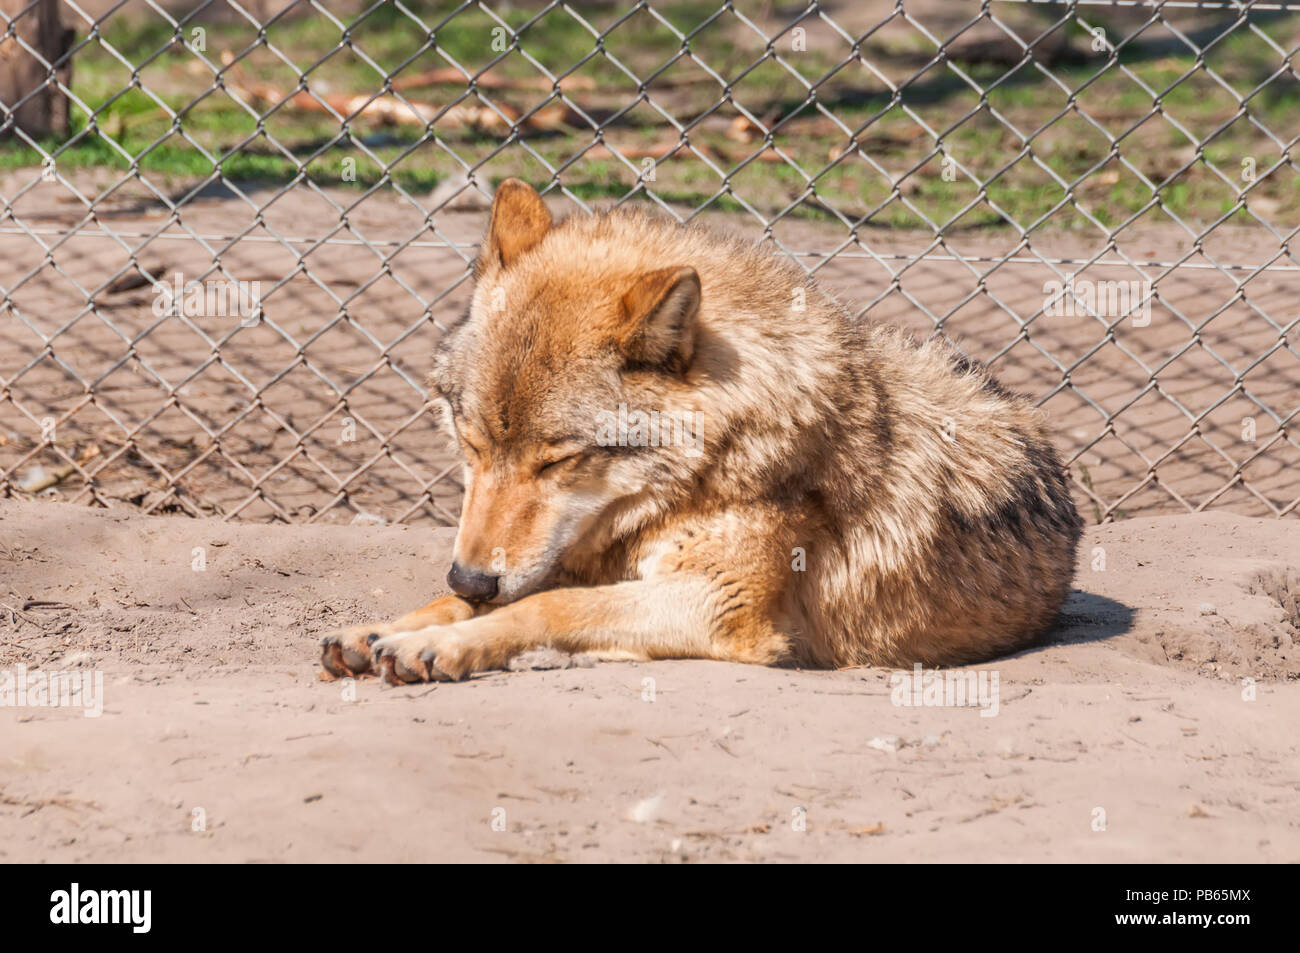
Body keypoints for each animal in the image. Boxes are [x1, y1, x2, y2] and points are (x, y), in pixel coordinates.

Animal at [319, 179, 1083, 684]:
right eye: (471, 443)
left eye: (556, 461)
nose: (473, 575)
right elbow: (472, 599)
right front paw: (385, 629)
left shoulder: (717, 603)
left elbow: (550, 606)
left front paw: (441, 646)